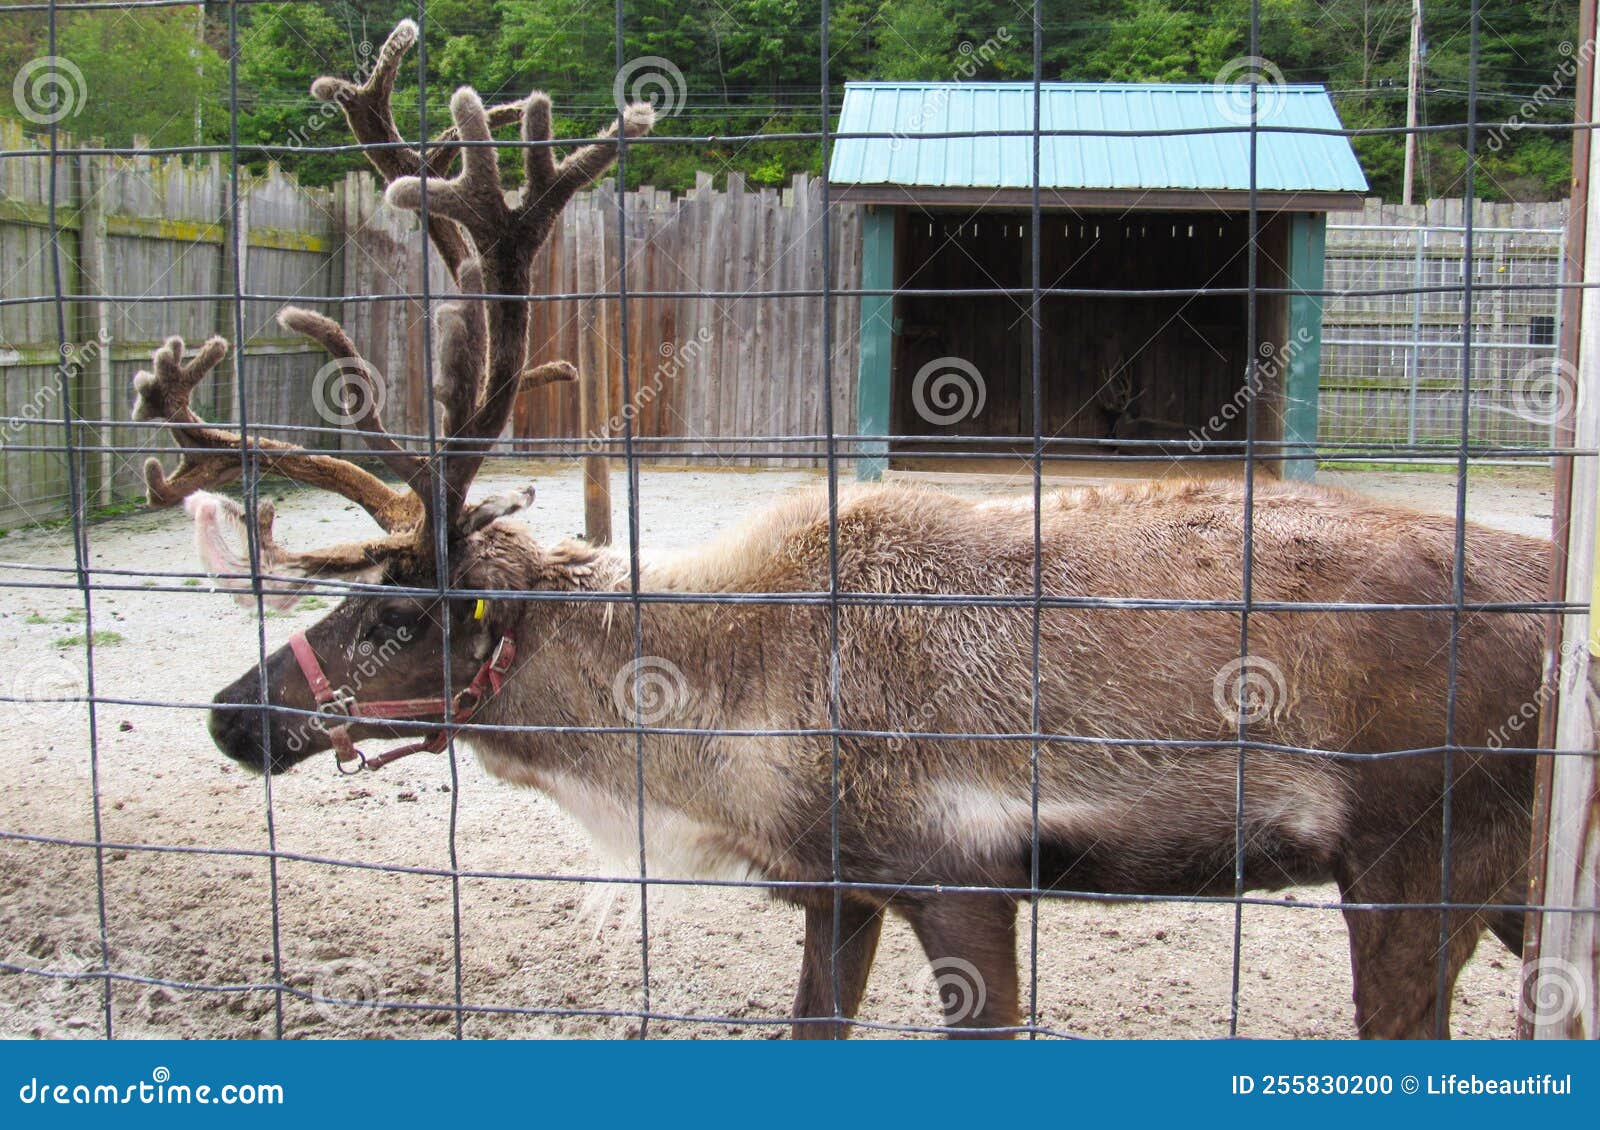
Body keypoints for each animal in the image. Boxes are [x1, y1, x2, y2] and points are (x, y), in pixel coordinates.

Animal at [130, 19, 1550, 1040]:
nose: (229, 714)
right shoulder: (840, 886)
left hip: (1423, 854)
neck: (723, 721)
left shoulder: (964, 879)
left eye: (394, 612)